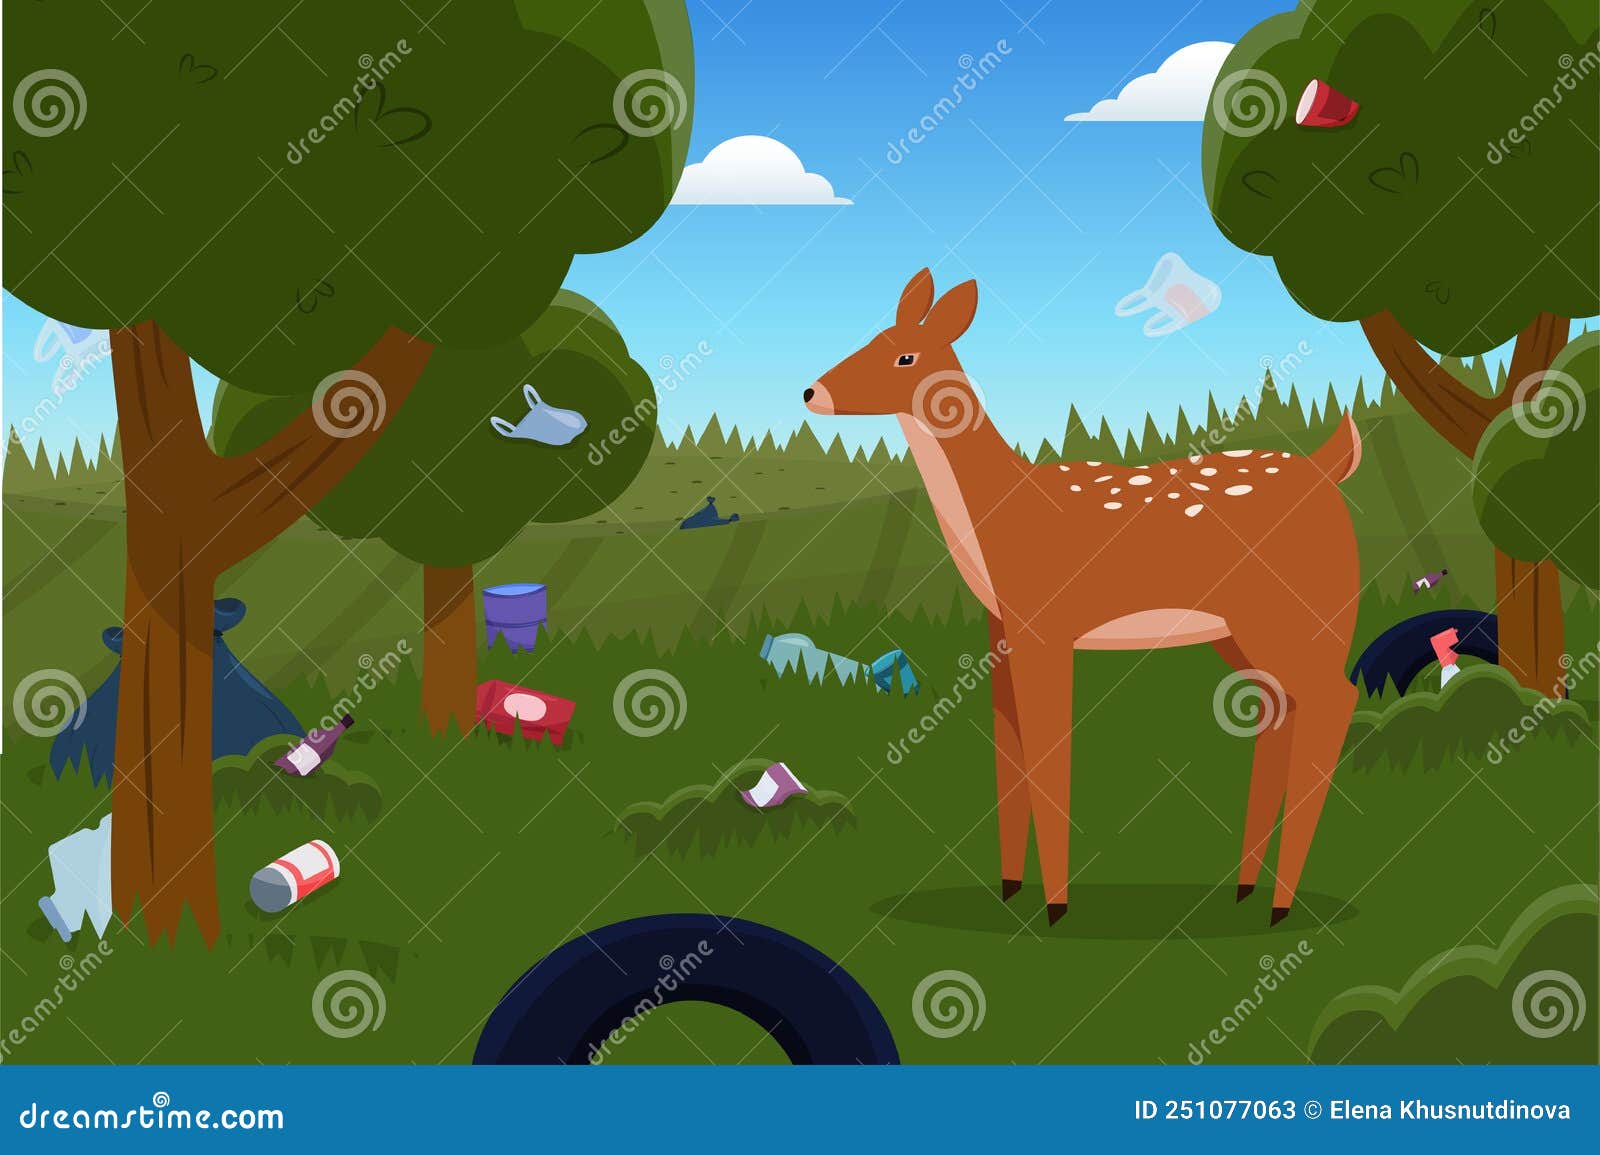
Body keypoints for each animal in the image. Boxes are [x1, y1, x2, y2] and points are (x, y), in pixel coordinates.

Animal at [806, 270, 1362, 926]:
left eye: (904, 356)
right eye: (868, 338)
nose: (811, 392)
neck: (1001, 521)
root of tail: (1332, 469)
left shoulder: (1045, 621)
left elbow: (1050, 753)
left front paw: (1055, 908)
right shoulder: (999, 627)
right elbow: (1007, 751)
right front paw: (1009, 889)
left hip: (1299, 614)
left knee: (1337, 699)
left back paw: (1280, 906)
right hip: (1245, 631)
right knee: (1282, 714)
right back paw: (1247, 893)